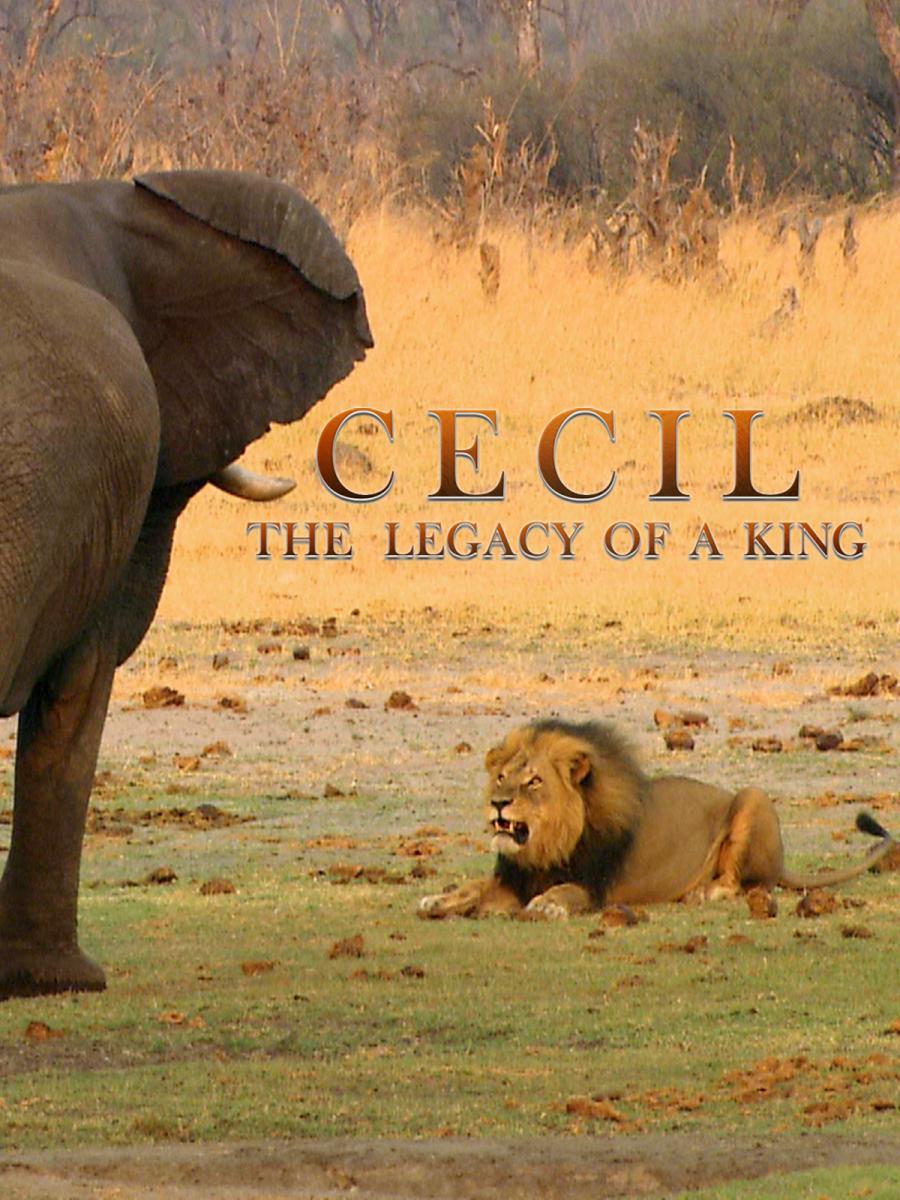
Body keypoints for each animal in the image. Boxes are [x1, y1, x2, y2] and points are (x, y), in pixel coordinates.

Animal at [419, 719, 894, 919]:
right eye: (501, 777)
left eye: (533, 781)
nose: (498, 803)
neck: (545, 848)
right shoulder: (512, 880)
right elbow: (472, 888)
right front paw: (438, 899)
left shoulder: (598, 888)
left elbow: (567, 891)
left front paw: (548, 904)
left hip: (753, 798)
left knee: (745, 882)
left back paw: (704, 892)